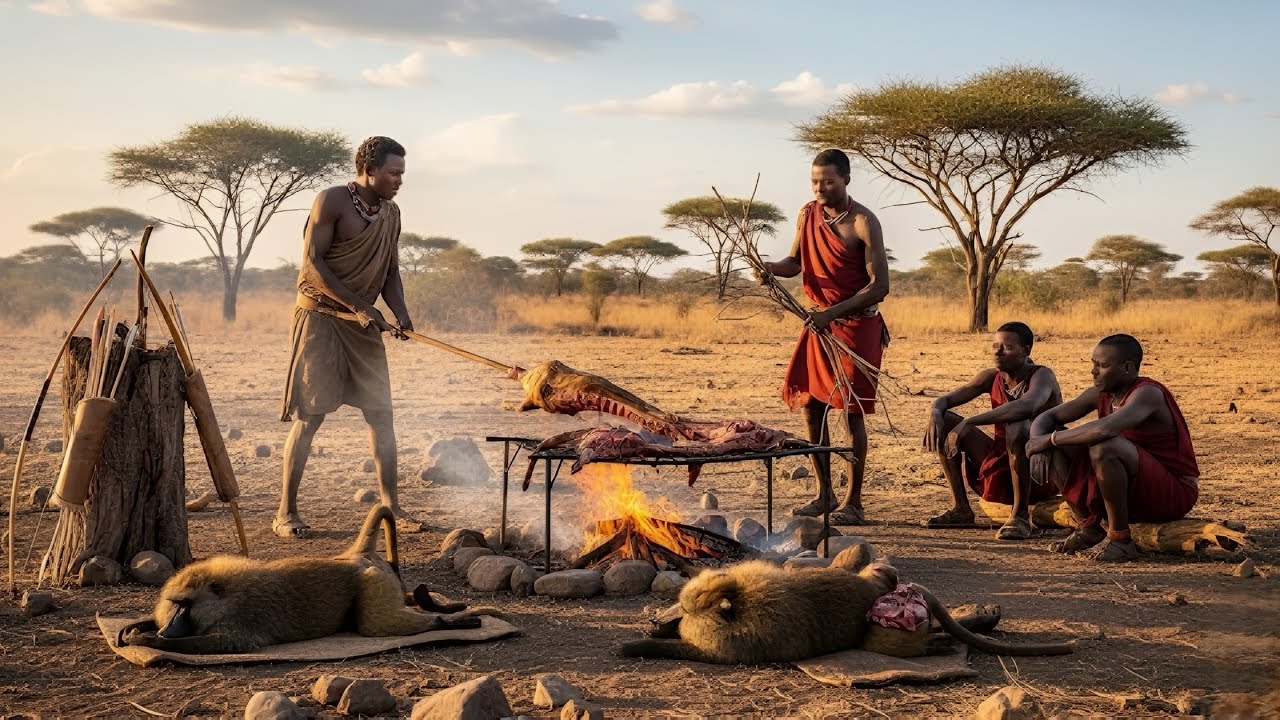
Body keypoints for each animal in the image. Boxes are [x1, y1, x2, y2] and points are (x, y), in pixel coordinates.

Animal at [118, 505, 488, 653]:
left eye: (185, 606)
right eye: (175, 605)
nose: (168, 627)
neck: (224, 596)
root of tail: (354, 556)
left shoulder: (240, 622)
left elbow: (230, 643)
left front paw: (151, 641)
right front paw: (140, 628)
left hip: (372, 580)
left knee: (376, 626)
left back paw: (448, 621)